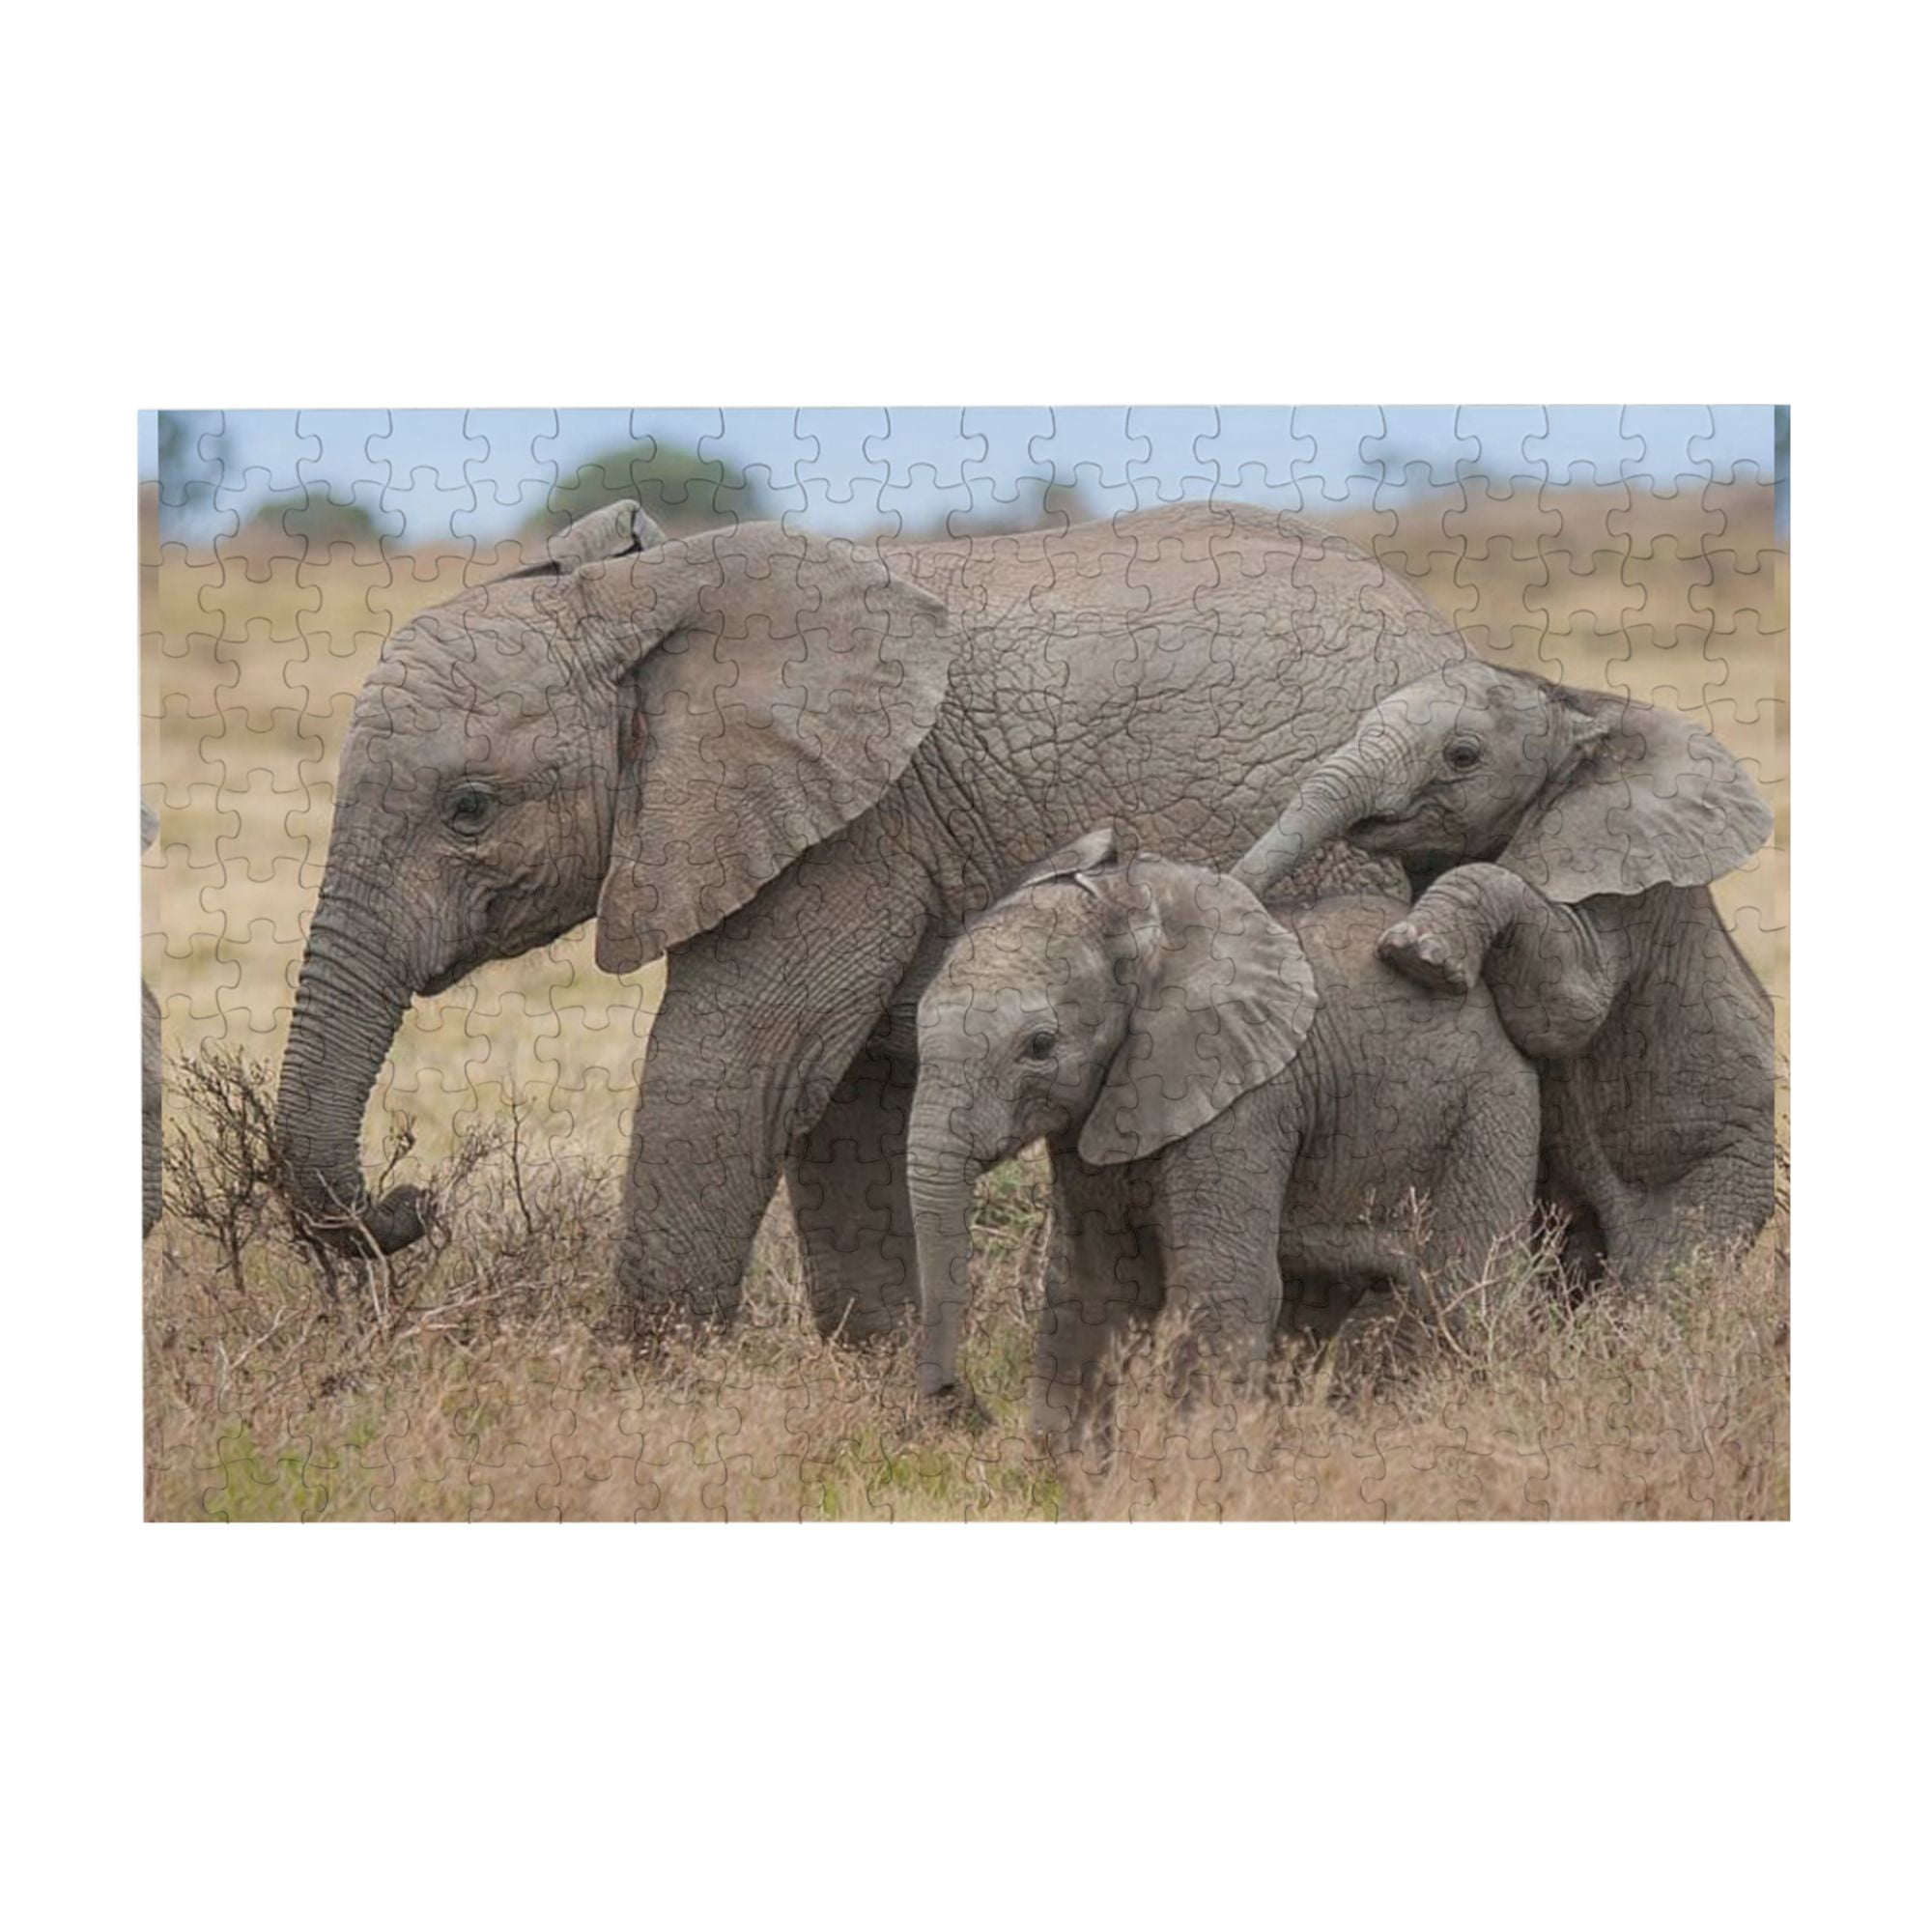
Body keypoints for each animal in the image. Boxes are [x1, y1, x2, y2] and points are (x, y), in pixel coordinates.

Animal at [273, 498, 1471, 1337]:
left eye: (469, 808)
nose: (414, 1198)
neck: (645, 597)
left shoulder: (852, 828)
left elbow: (736, 1072)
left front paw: (644, 1386)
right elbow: (839, 1108)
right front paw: (888, 1382)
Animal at [908, 829, 1541, 1441]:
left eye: (1039, 1046)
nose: (957, 1399)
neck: (1136, 915)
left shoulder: (1245, 1101)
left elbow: (1224, 1287)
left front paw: (1191, 1463)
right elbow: (1092, 1285)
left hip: (1487, 1114)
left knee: (1462, 1296)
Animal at [1231, 660, 1777, 1285]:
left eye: (1463, 755)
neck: (1577, 715)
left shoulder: (1621, 876)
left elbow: (1567, 1012)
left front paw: (1420, 956)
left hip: (1725, 1163)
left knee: (1660, 1273)